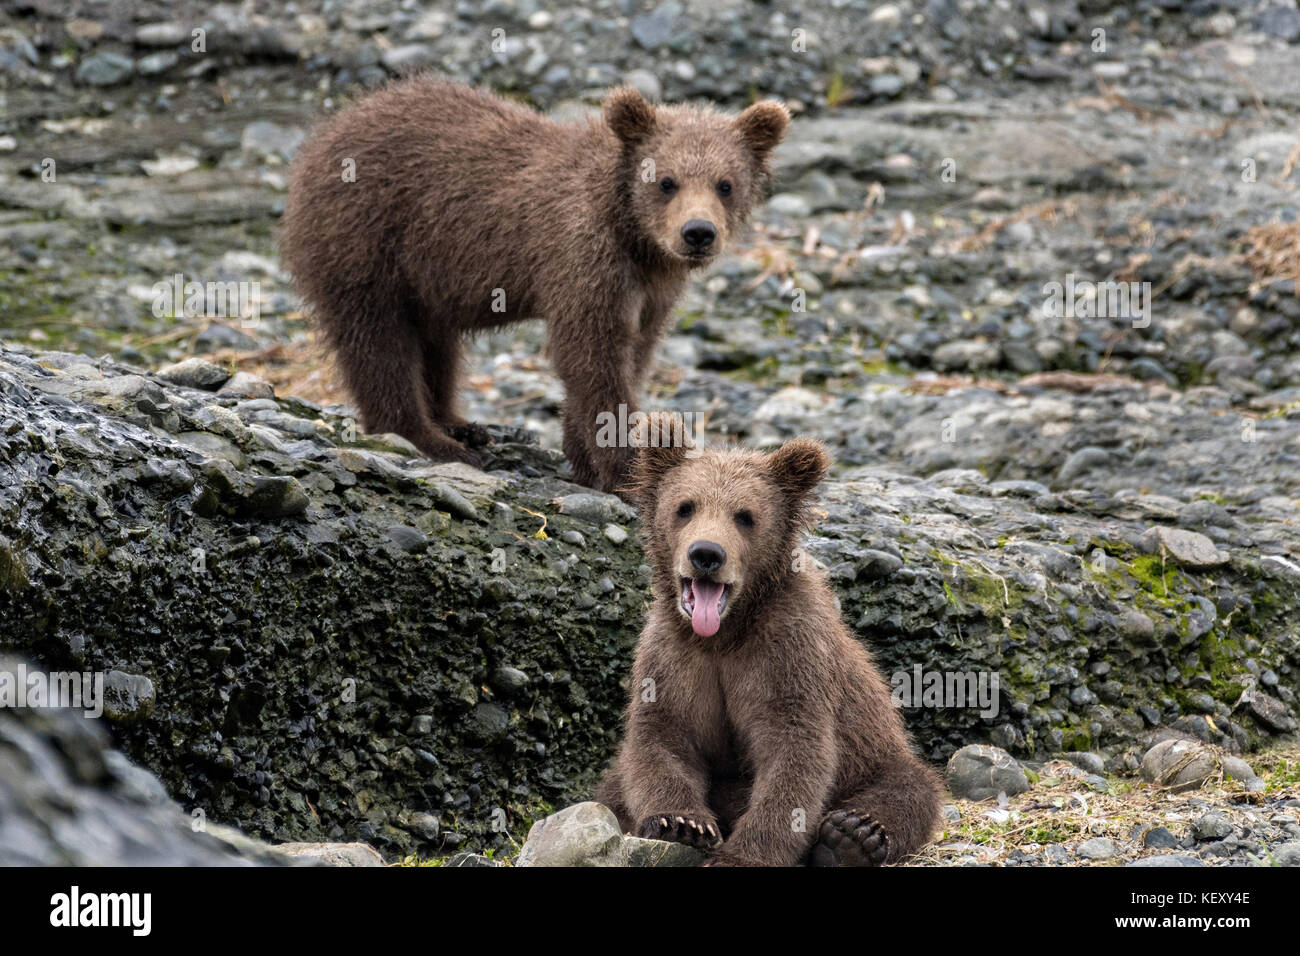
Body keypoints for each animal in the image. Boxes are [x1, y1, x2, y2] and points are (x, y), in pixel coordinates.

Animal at [280, 78, 789, 492]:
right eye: (667, 181)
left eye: (725, 183)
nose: (698, 232)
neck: (635, 237)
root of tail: (324, 135)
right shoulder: (583, 258)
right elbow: (593, 356)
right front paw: (626, 470)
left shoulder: (651, 291)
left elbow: (632, 353)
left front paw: (584, 457)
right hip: (368, 237)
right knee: (378, 340)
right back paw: (428, 437)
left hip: (424, 276)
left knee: (436, 344)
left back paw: (459, 424)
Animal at [595, 419, 943, 866]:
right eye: (685, 506)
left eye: (745, 516)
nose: (706, 554)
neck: (724, 634)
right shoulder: (672, 656)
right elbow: (662, 737)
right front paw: (683, 823)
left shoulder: (788, 651)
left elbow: (794, 750)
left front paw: (742, 855)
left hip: (876, 752)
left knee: (910, 788)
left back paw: (852, 836)